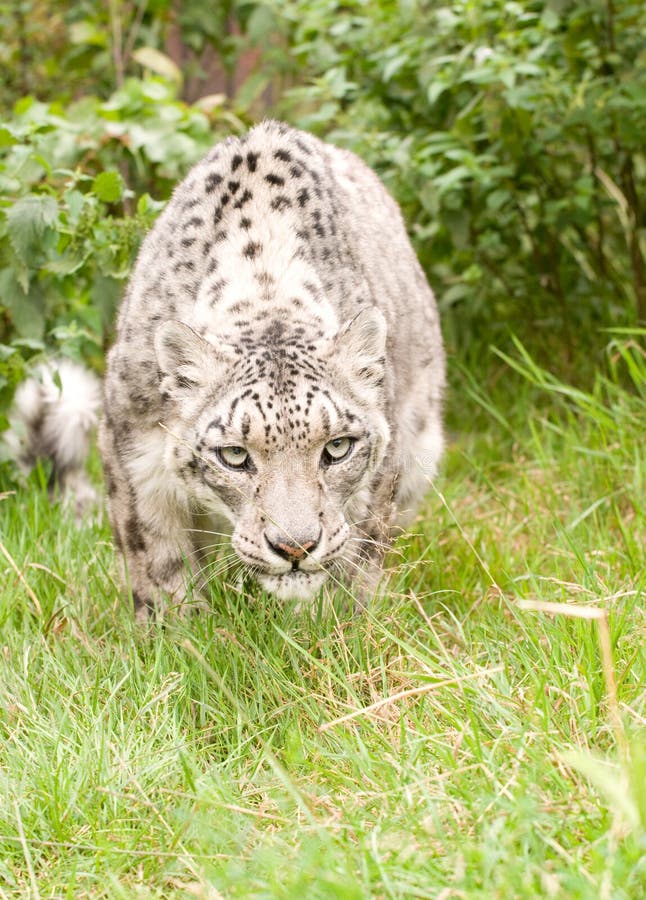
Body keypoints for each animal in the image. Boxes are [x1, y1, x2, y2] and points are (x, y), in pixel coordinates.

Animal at [99, 120, 445, 620]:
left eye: (337, 447)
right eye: (234, 455)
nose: (295, 546)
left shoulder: (383, 470)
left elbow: (358, 559)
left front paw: (335, 624)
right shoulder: (134, 452)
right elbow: (159, 563)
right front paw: (178, 628)